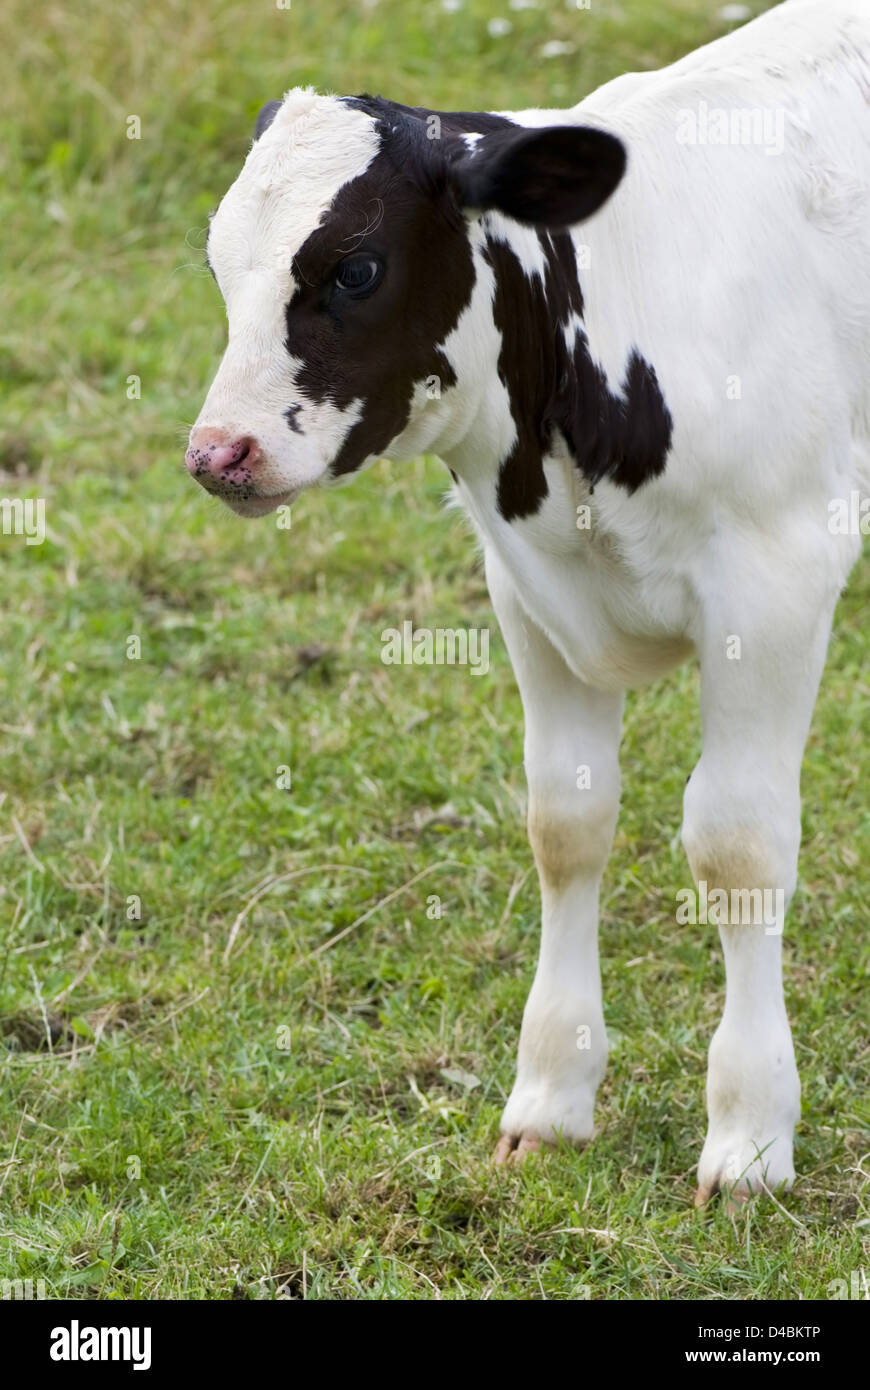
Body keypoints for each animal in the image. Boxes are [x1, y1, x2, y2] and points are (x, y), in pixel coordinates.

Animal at [185, 0, 870, 1203]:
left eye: (354, 268)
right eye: (224, 261)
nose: (220, 452)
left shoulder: (775, 583)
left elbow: (737, 847)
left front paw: (749, 1138)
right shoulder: (528, 589)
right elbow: (566, 822)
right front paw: (551, 1097)